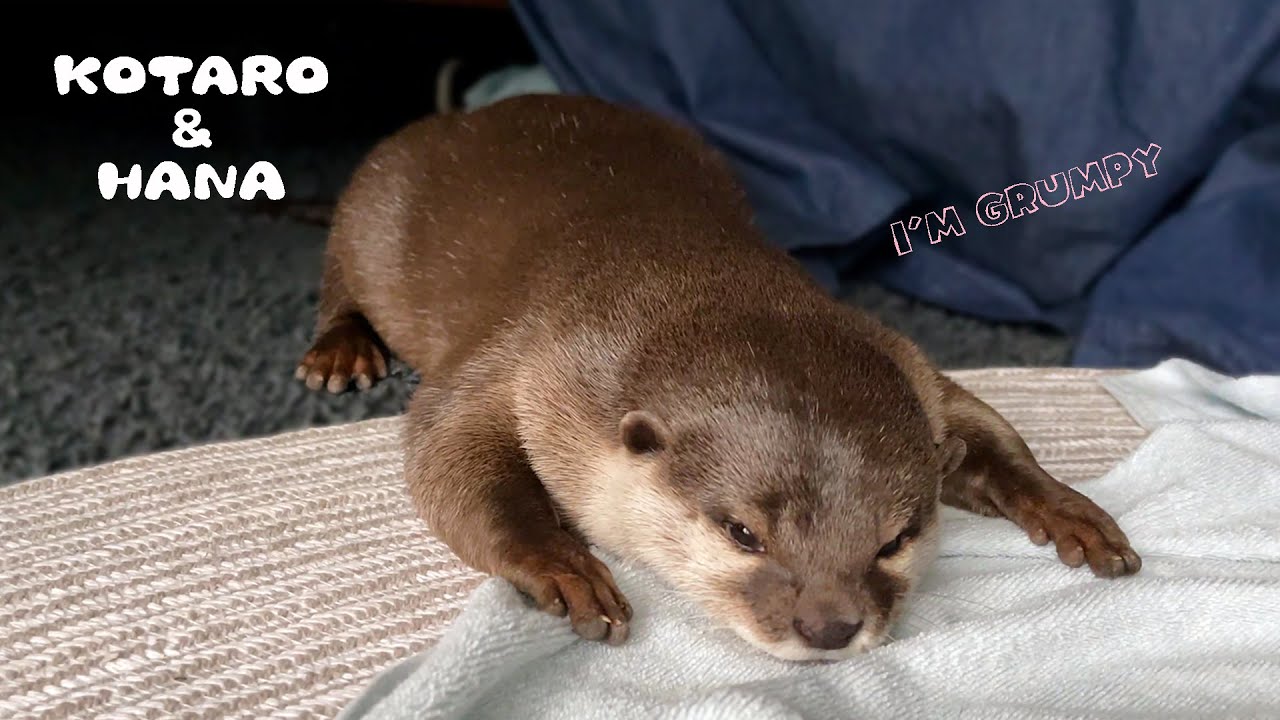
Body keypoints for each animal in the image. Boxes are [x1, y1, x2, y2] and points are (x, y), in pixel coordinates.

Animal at [295, 94, 1141, 662]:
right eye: (742, 533)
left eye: (896, 539)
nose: (829, 626)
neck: (670, 273)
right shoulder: (524, 358)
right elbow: (446, 453)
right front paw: (565, 567)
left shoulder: (908, 363)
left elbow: (986, 429)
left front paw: (1068, 509)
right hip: (371, 208)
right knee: (337, 276)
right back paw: (340, 353)